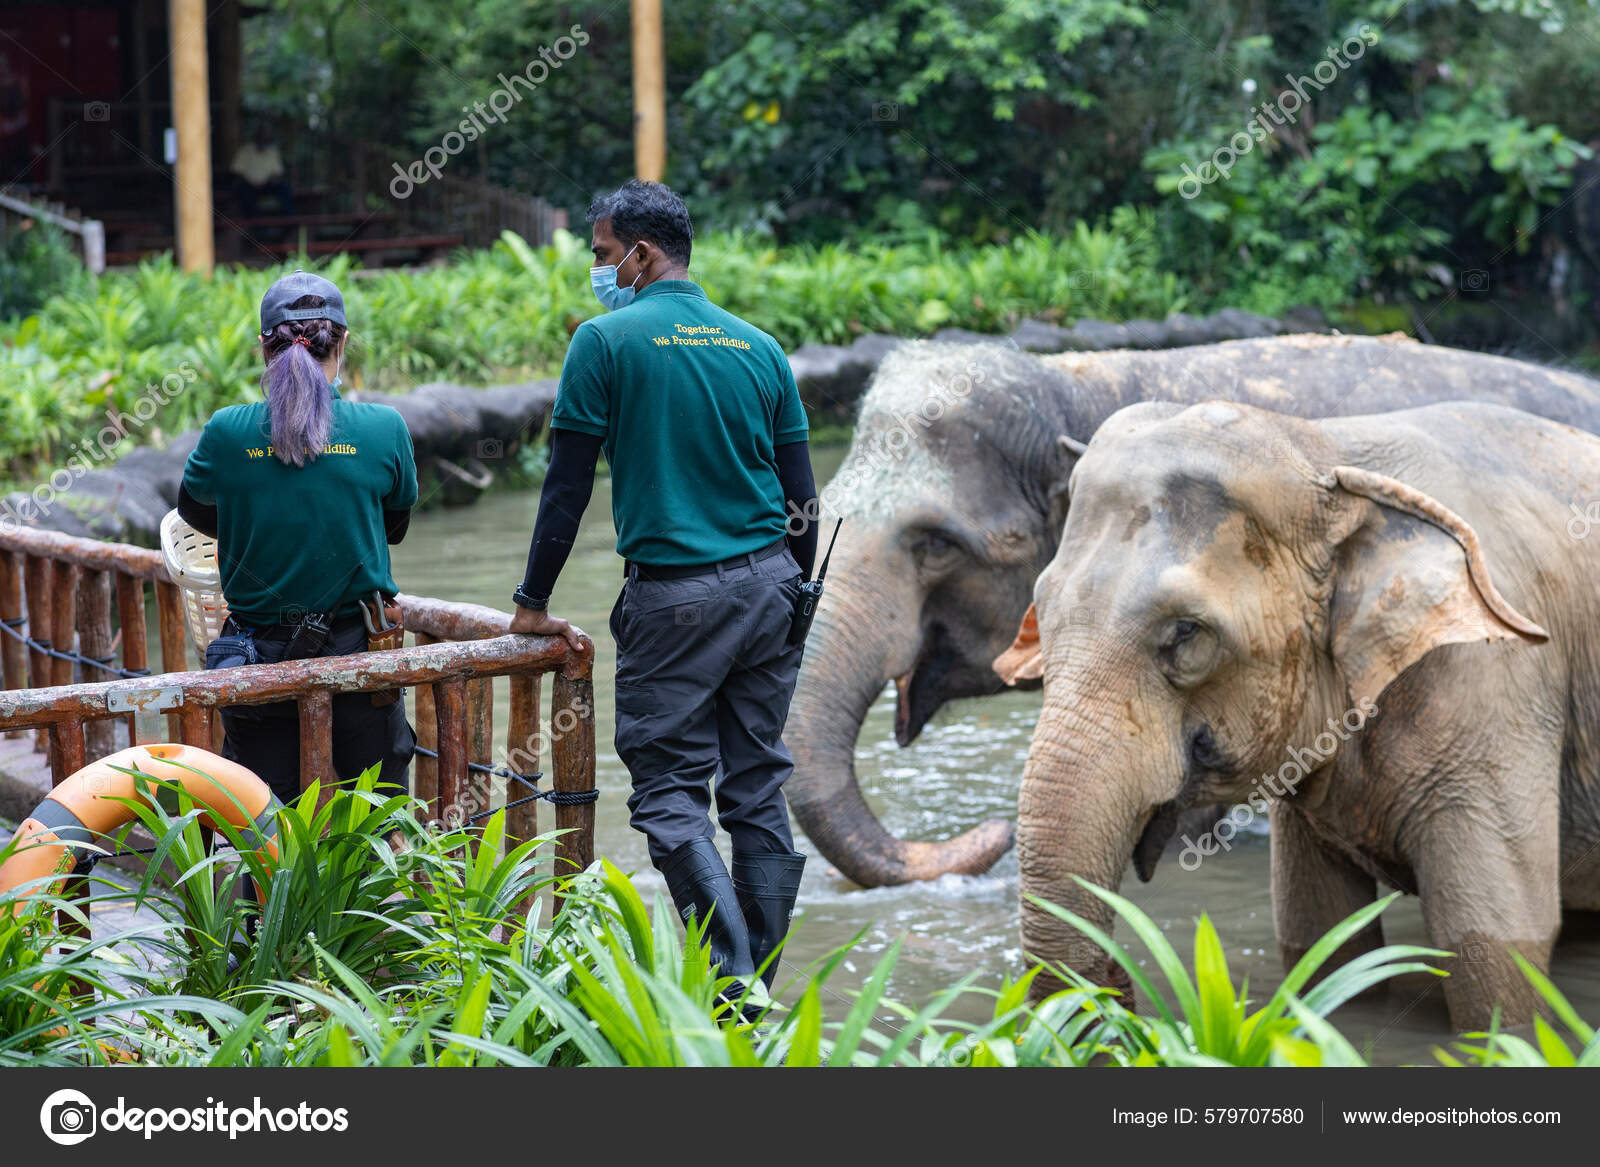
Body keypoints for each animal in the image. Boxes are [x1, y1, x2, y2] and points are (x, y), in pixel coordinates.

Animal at [996, 398, 1600, 1028]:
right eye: (1040, 609)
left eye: (1186, 632)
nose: (1120, 982)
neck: (1329, 451)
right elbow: (1323, 941)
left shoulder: (1496, 692)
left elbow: (1498, 952)